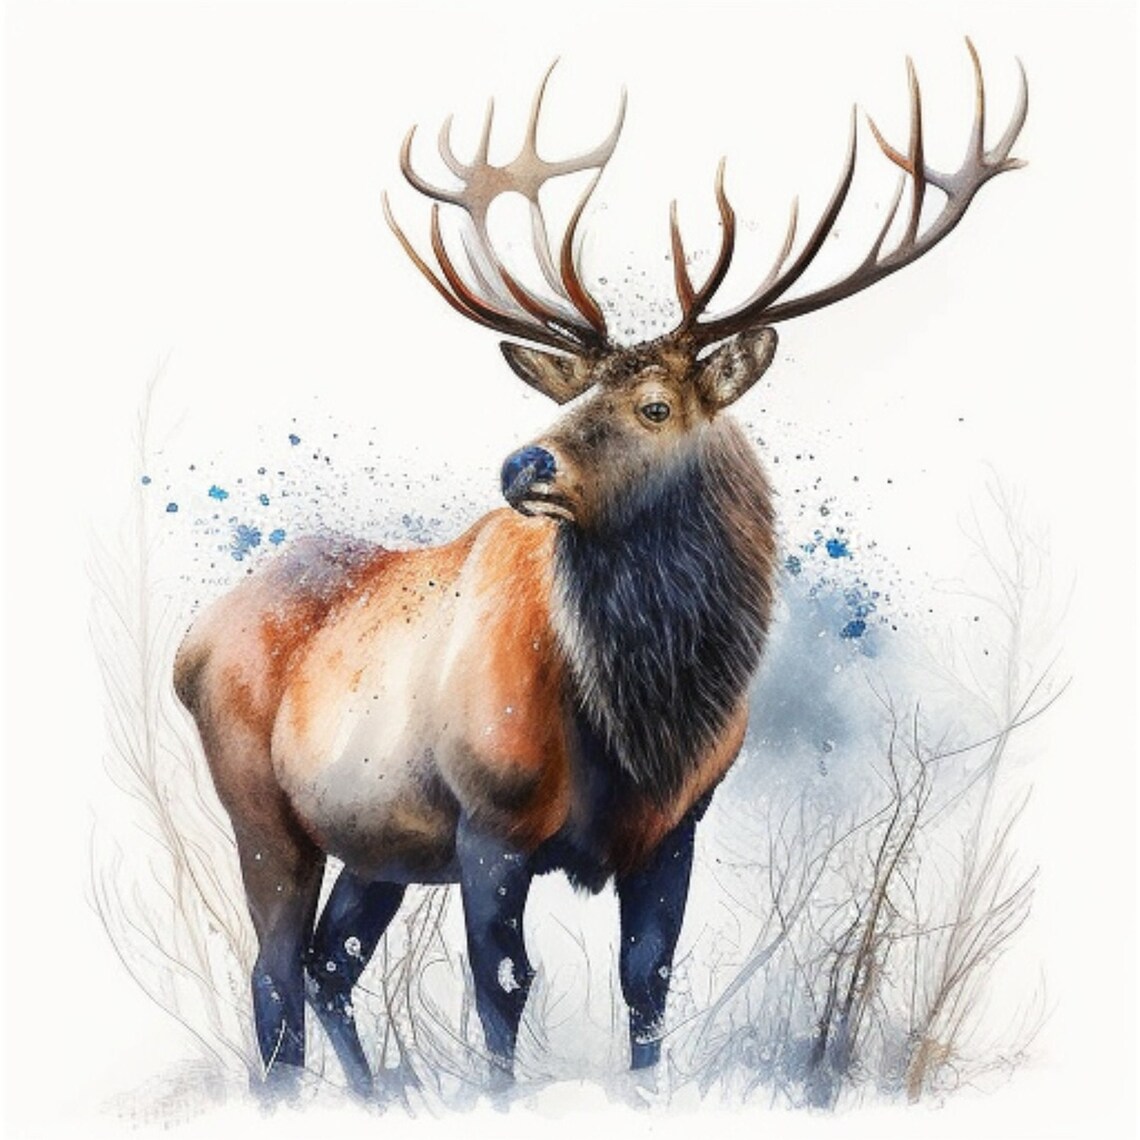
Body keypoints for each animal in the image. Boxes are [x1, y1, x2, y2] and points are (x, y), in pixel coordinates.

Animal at [173, 41, 1027, 1097]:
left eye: (656, 404)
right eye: (571, 393)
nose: (523, 465)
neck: (637, 725)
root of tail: (188, 644)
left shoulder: (675, 826)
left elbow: (647, 981)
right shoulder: (491, 823)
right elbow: (503, 989)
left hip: (380, 844)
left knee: (330, 969)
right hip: (259, 807)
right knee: (275, 976)